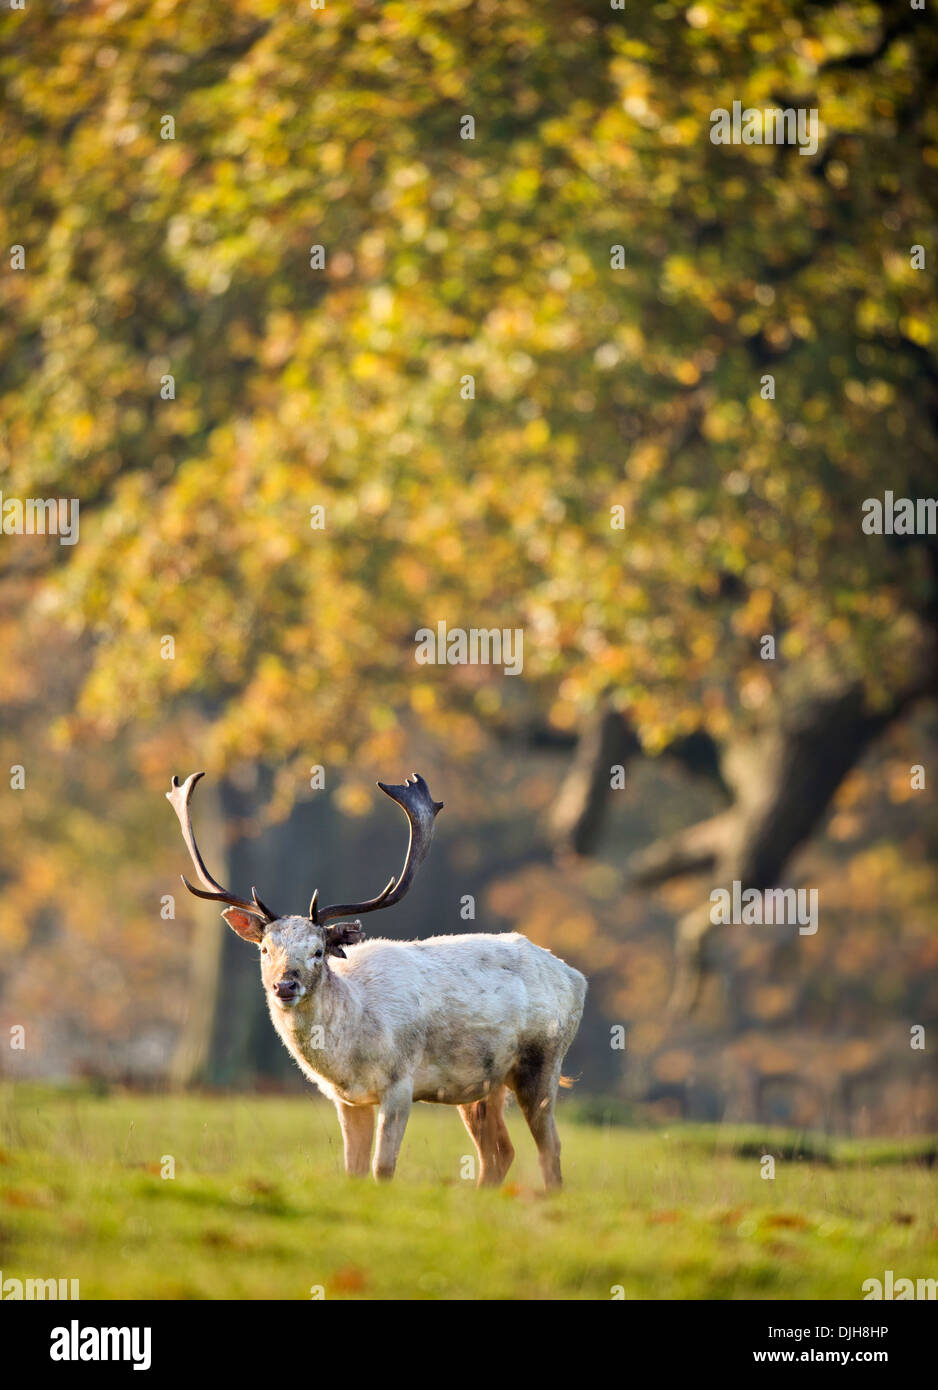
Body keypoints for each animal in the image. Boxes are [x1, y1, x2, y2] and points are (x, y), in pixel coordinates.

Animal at [167, 771, 587, 1189]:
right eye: (265, 949)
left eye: (318, 950)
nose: (285, 985)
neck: (350, 1051)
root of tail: (575, 977)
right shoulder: (347, 1099)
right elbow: (352, 1169)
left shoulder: (400, 1084)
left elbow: (382, 1168)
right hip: (483, 1084)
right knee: (499, 1152)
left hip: (543, 1061)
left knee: (550, 1148)